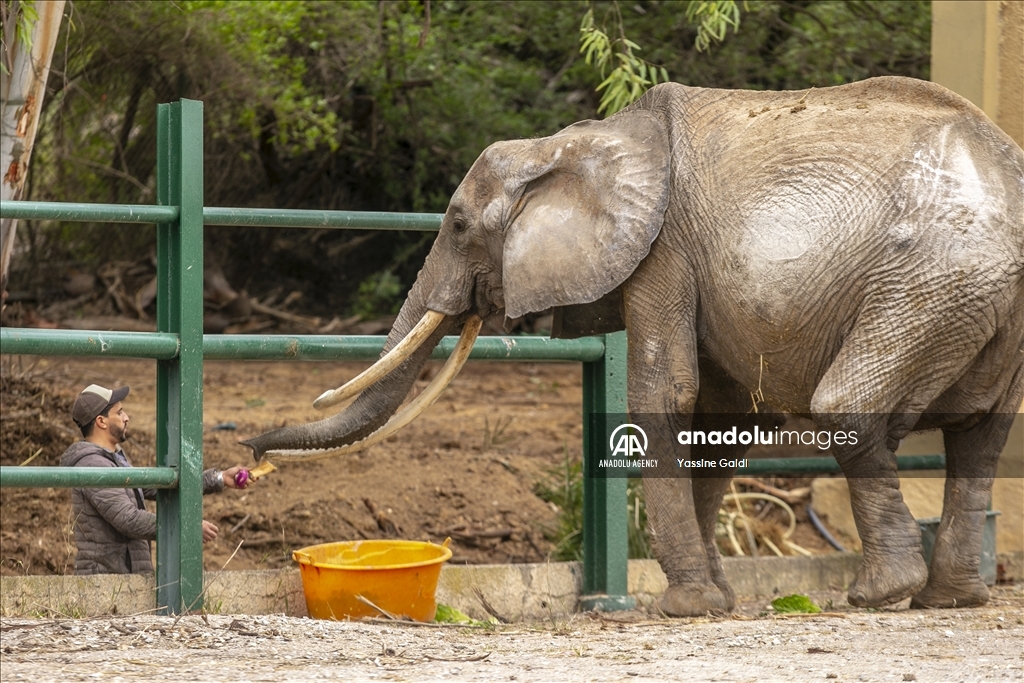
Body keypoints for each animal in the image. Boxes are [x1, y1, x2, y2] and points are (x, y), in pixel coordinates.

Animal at [242, 76, 1024, 616]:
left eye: (459, 224)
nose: (248, 451)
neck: (576, 140)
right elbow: (719, 414)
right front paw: (715, 602)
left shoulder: (665, 250)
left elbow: (666, 393)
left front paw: (683, 608)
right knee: (982, 439)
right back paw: (951, 598)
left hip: (931, 279)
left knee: (851, 408)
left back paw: (880, 593)